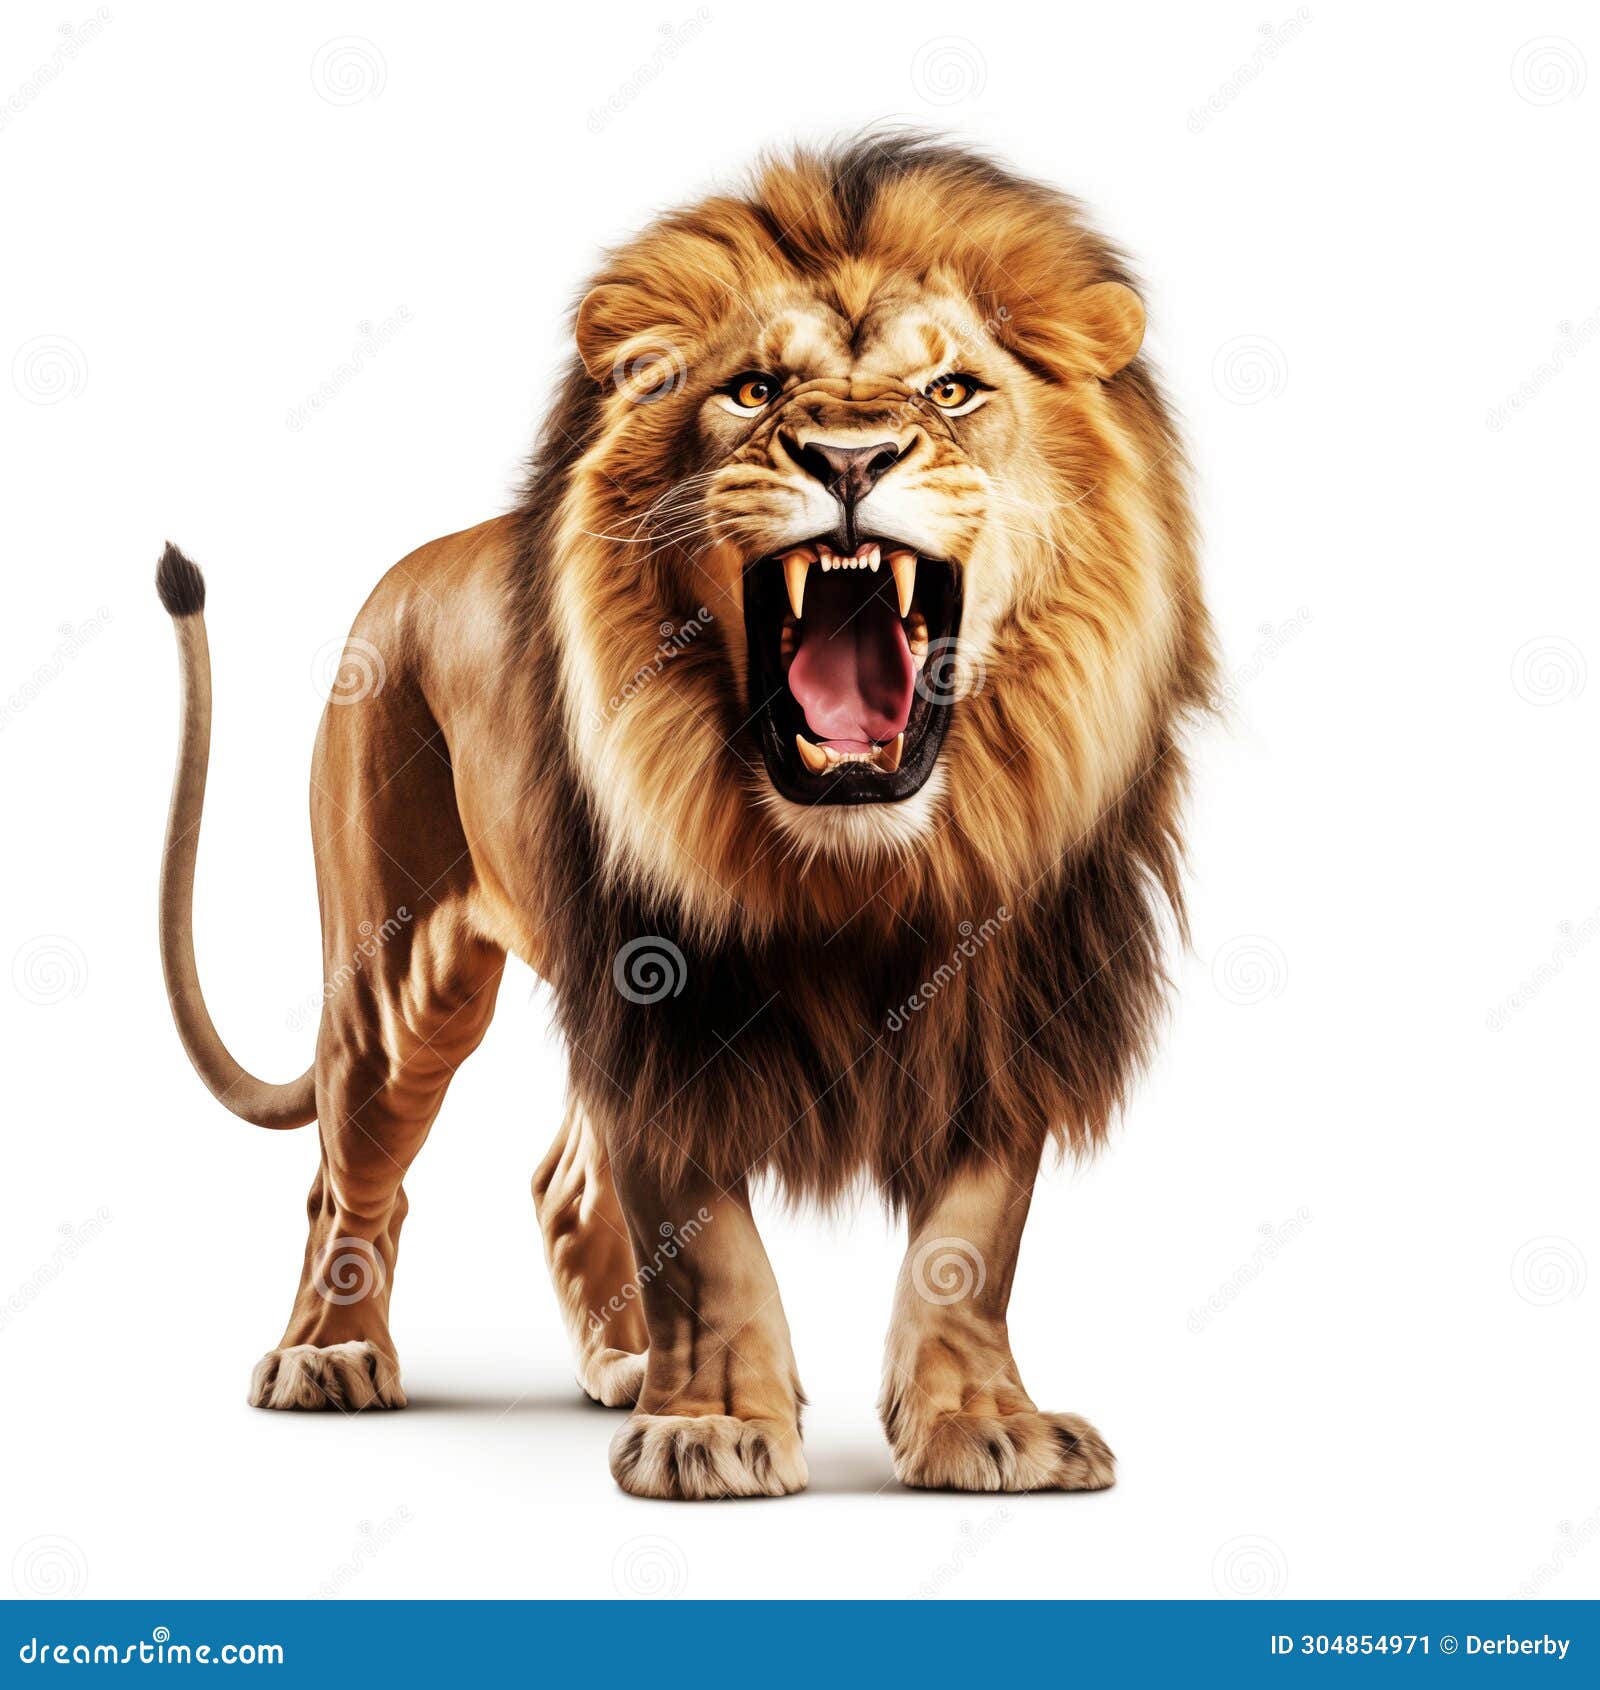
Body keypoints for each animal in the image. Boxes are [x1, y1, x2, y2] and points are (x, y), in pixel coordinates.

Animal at [156, 133, 1215, 1498]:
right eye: (754, 392)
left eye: (954, 392)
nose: (852, 458)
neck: (854, 864)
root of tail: (407, 570)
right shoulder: (656, 995)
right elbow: (702, 1236)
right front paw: (709, 1426)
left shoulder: (1003, 1004)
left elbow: (972, 1240)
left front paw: (985, 1425)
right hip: (398, 980)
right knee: (351, 1174)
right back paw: (331, 1355)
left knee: (561, 1178)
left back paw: (619, 1365)